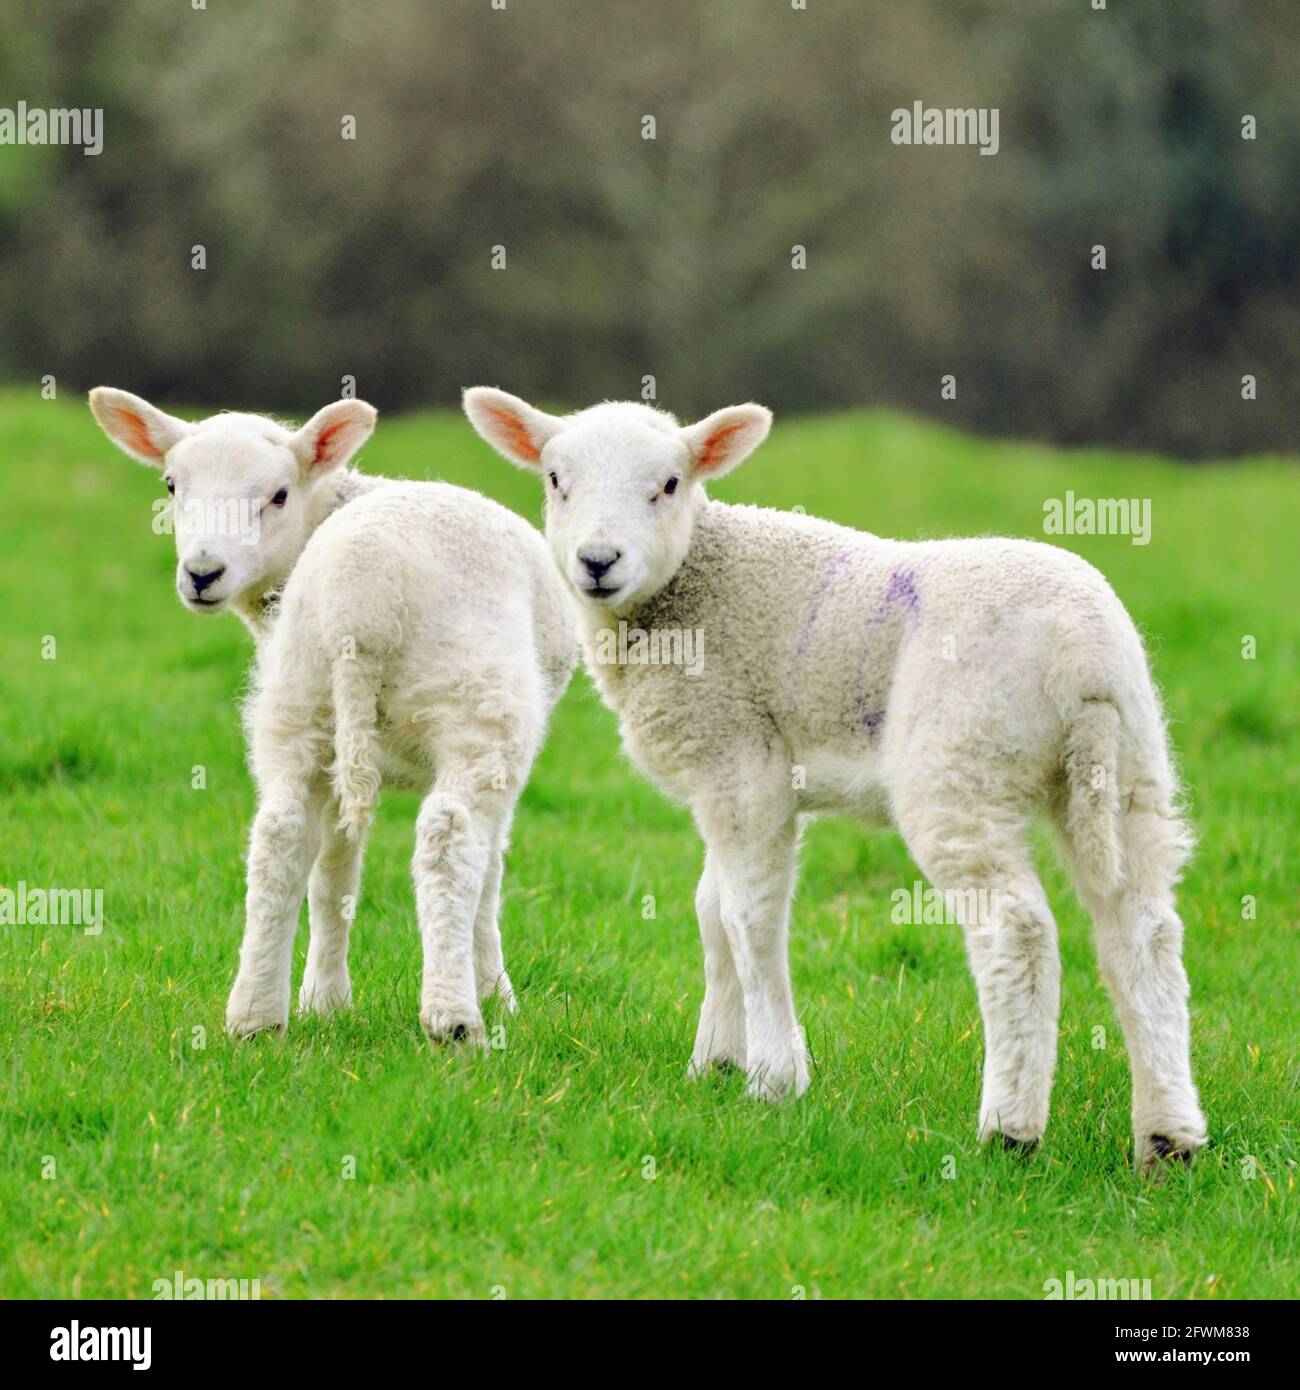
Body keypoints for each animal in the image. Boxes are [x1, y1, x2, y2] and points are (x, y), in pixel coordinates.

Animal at [89, 388, 576, 1043]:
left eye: (278, 494)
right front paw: (498, 995)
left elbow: (333, 873)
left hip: (300, 700)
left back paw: (256, 1015)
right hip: (475, 701)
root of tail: (358, 602)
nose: (202, 573)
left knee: (280, 836)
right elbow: (489, 871)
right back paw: (454, 1017)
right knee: (449, 838)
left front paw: (324, 1000)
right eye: (171, 485)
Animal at [463, 387, 1207, 1172]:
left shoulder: (741, 759)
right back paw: (1169, 1139)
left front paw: (773, 1078)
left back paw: (1009, 1130)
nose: (598, 561)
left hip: (961, 759)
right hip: (1128, 767)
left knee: (1018, 932)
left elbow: (748, 917)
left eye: (669, 484)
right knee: (1143, 929)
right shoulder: (724, 773)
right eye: (555, 480)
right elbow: (710, 911)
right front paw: (713, 1064)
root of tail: (1080, 654)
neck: (694, 587)